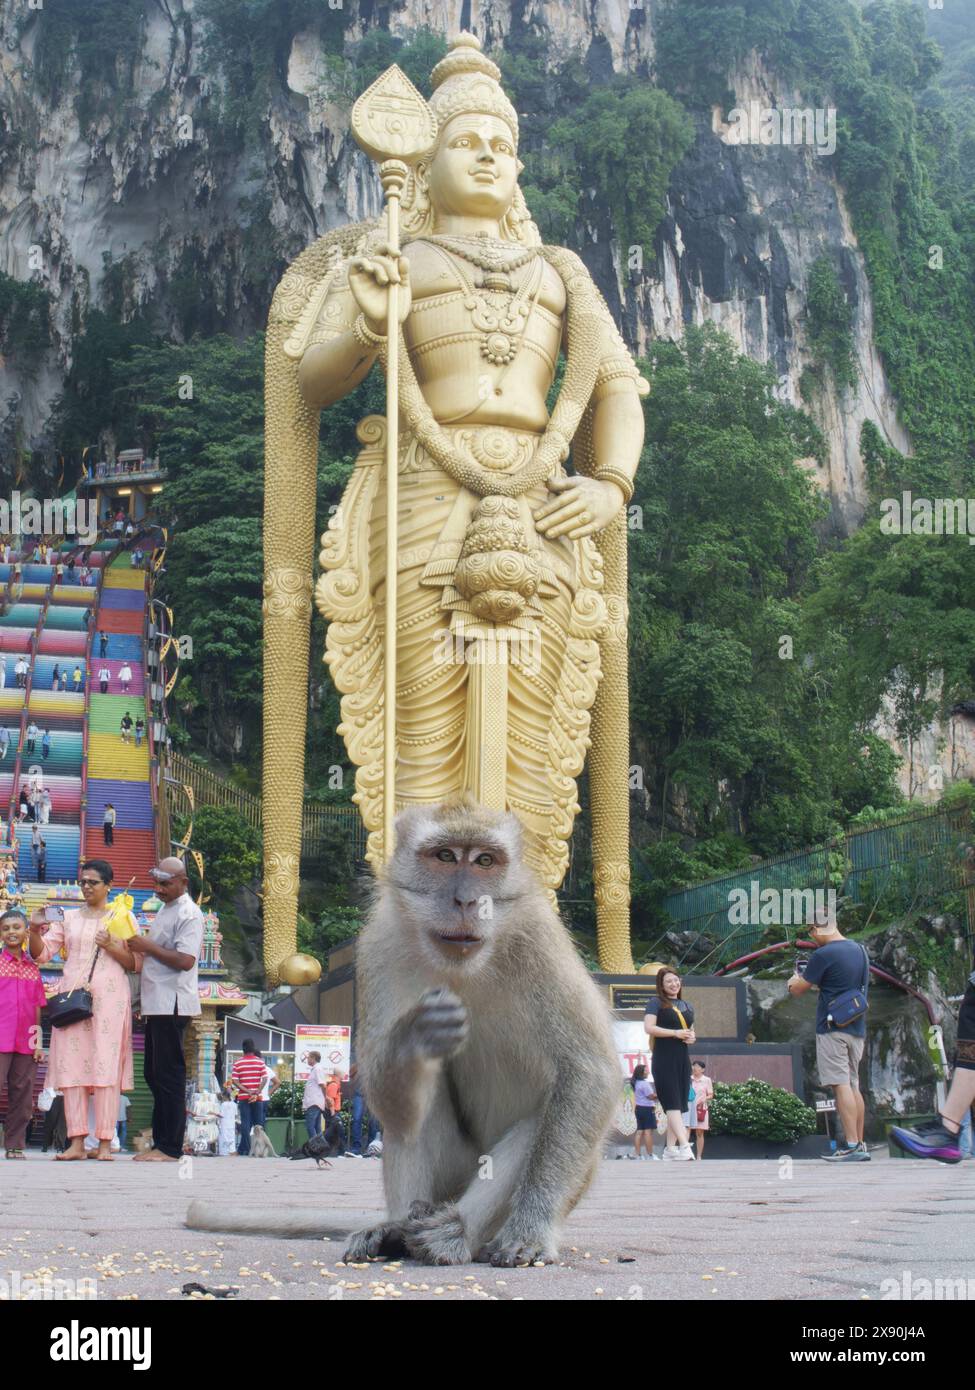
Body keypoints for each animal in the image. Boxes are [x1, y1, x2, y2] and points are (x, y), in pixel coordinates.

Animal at [343, 799, 619, 1268]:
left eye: (485, 861)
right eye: (445, 856)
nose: (467, 900)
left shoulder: (540, 938)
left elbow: (589, 1071)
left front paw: (530, 1230)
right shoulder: (378, 945)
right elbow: (384, 1094)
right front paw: (414, 1036)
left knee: (539, 1121)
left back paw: (455, 1232)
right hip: (452, 1174)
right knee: (412, 1113)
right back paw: (396, 1229)